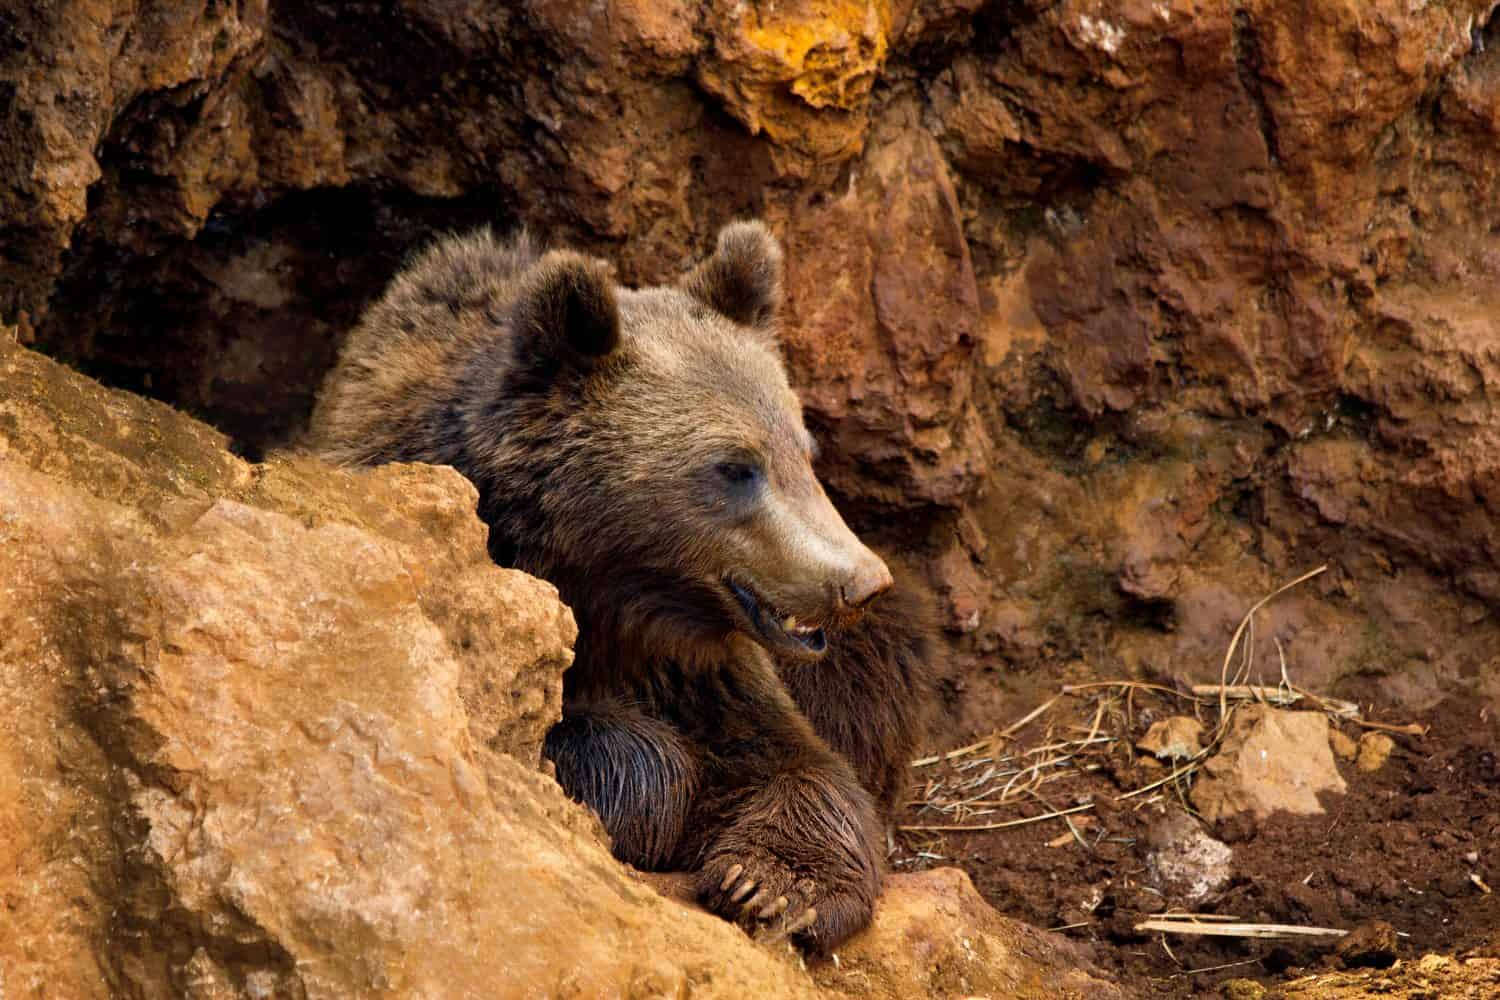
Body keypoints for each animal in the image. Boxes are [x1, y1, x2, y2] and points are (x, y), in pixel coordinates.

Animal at [307, 221, 934, 953]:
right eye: (734, 467)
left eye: (803, 451)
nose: (860, 582)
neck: (610, 588)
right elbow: (568, 740)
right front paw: (656, 797)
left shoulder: (703, 667)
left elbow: (804, 765)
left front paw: (775, 886)